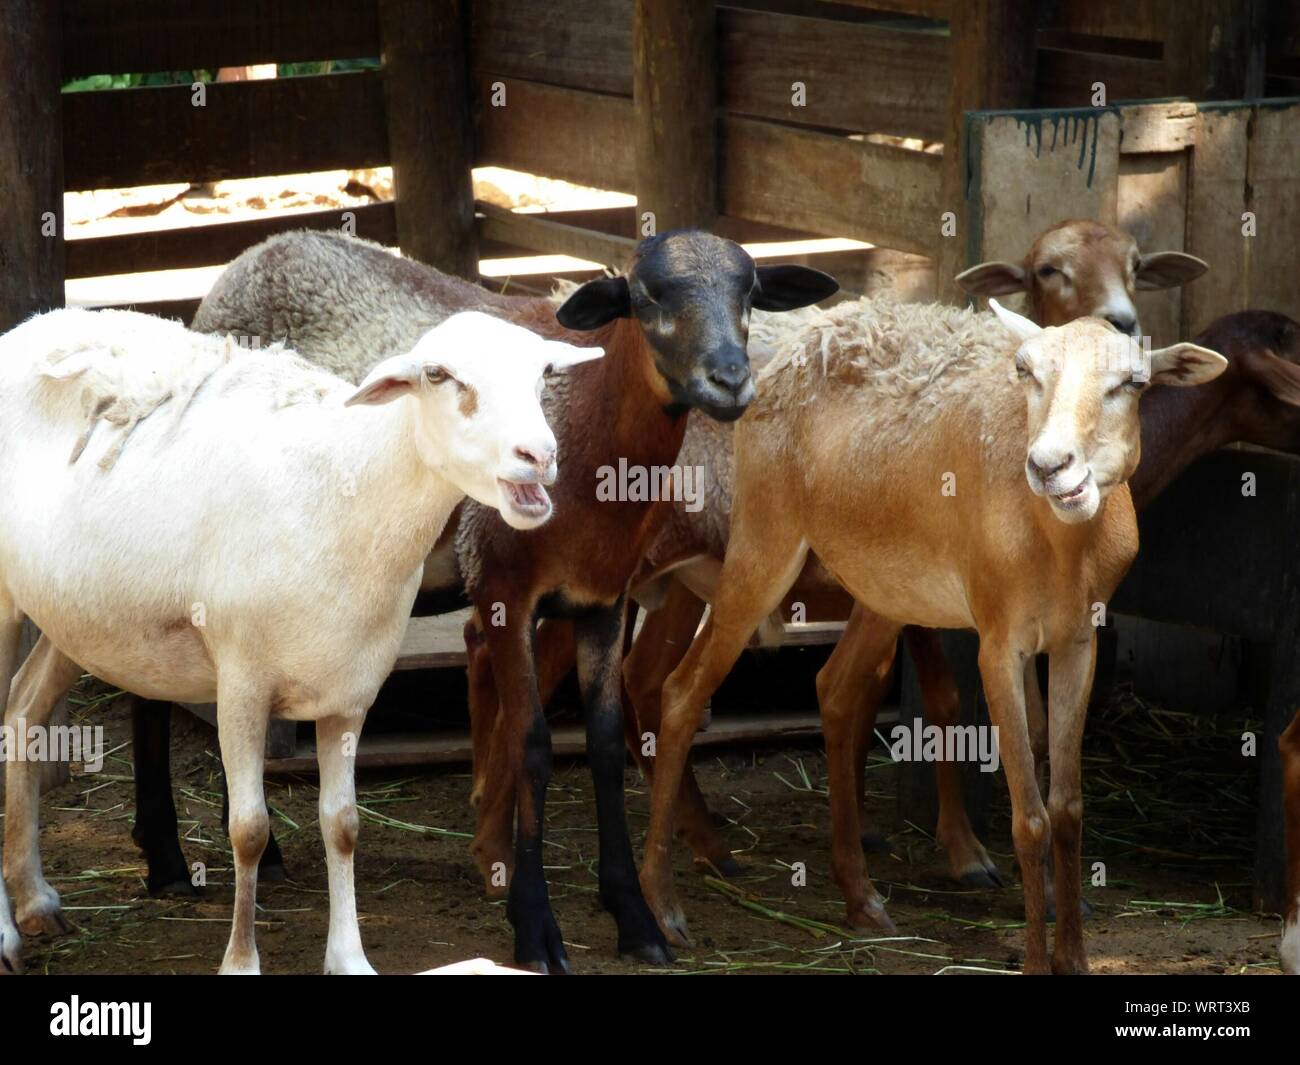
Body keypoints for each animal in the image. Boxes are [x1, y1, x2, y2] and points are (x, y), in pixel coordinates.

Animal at [0, 306, 596, 975]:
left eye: (543, 374)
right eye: (438, 375)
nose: (539, 455)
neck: (346, 494)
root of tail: (30, 326)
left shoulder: (351, 693)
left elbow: (343, 825)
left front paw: (349, 956)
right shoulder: (240, 683)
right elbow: (249, 830)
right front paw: (241, 961)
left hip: (74, 612)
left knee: (23, 710)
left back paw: (35, 899)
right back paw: (6, 933)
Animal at [128, 228, 838, 973]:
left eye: (750, 292)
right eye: (647, 297)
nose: (730, 380)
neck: (594, 434)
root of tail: (248, 261)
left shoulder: (603, 597)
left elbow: (605, 743)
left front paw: (633, 917)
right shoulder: (505, 588)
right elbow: (531, 743)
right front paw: (534, 927)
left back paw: (257, 862)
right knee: (148, 689)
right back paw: (168, 859)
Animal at [635, 296, 1225, 974]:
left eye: (1133, 382)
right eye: (1025, 370)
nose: (1051, 467)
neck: (1059, 549)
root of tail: (805, 335)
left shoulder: (1080, 640)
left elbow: (1068, 808)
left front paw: (1073, 957)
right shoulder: (999, 640)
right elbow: (1029, 817)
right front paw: (1032, 957)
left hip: (879, 585)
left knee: (835, 687)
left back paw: (862, 899)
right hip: (763, 539)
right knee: (681, 691)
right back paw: (664, 908)